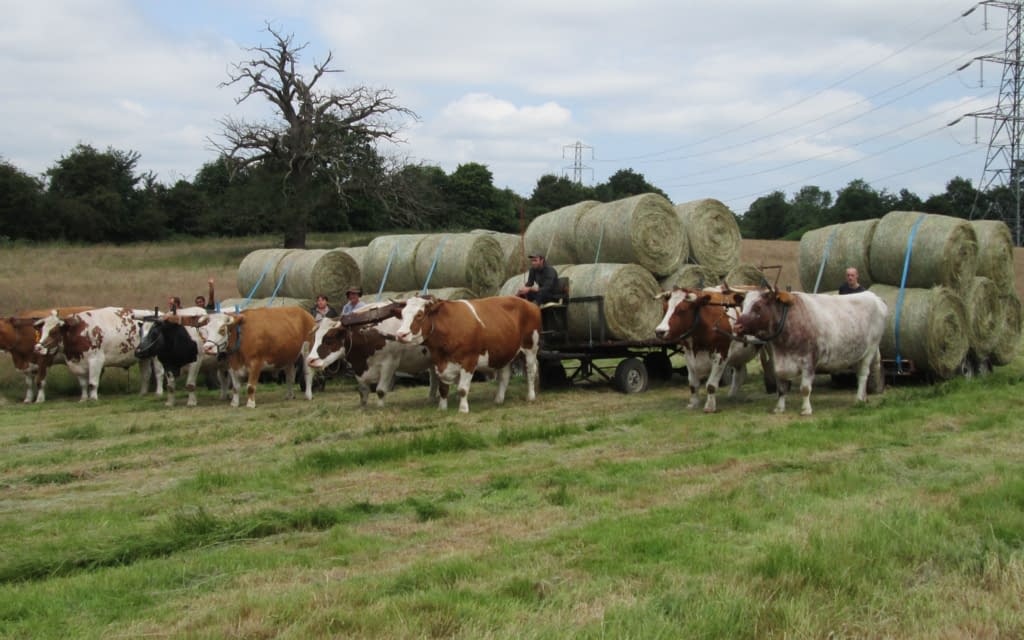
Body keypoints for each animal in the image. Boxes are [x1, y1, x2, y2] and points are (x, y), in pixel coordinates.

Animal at [33, 306, 163, 402]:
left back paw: (159, 392)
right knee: (146, 375)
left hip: (156, 357)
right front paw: (83, 399)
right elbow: (83, 384)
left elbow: (92, 383)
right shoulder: (77, 363)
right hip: (144, 357)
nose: (38, 348)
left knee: (159, 373)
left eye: (54, 331)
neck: (78, 331)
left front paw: (93, 398)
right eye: (41, 331)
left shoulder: (96, 360)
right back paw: (143, 393)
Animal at [186, 306, 316, 408]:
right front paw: (234, 403)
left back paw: (308, 395)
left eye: (222, 330)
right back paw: (290, 395)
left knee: (308, 373)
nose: (207, 347)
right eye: (206, 330)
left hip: (308, 350)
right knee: (290, 377)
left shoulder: (255, 363)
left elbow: (250, 386)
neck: (242, 336)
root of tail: (304, 312)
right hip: (288, 357)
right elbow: (236, 387)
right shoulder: (232, 365)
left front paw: (250, 403)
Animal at [306, 304, 440, 407]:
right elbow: (363, 390)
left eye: (329, 339)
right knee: (434, 377)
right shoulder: (358, 368)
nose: (310, 360)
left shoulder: (389, 364)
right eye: (314, 338)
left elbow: (380, 390)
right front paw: (363, 406)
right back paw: (431, 398)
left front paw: (380, 406)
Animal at [394, 295, 542, 414]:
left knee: (531, 371)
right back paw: (499, 399)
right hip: (504, 352)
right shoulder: (439, 362)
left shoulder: (469, 361)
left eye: (419, 315)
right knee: (505, 376)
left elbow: (462, 389)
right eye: (402, 315)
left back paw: (531, 396)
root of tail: (529, 303)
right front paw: (442, 408)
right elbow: (443, 388)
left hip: (530, 347)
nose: (400, 334)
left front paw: (463, 409)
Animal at [733, 288, 888, 416]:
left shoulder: (809, 361)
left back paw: (859, 399)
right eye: (742, 306)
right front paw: (779, 408)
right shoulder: (778, 363)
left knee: (863, 375)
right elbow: (781, 388)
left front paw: (806, 409)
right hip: (856, 353)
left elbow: (805, 388)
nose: (737, 326)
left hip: (870, 349)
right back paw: (864, 397)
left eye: (757, 306)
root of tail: (874, 296)